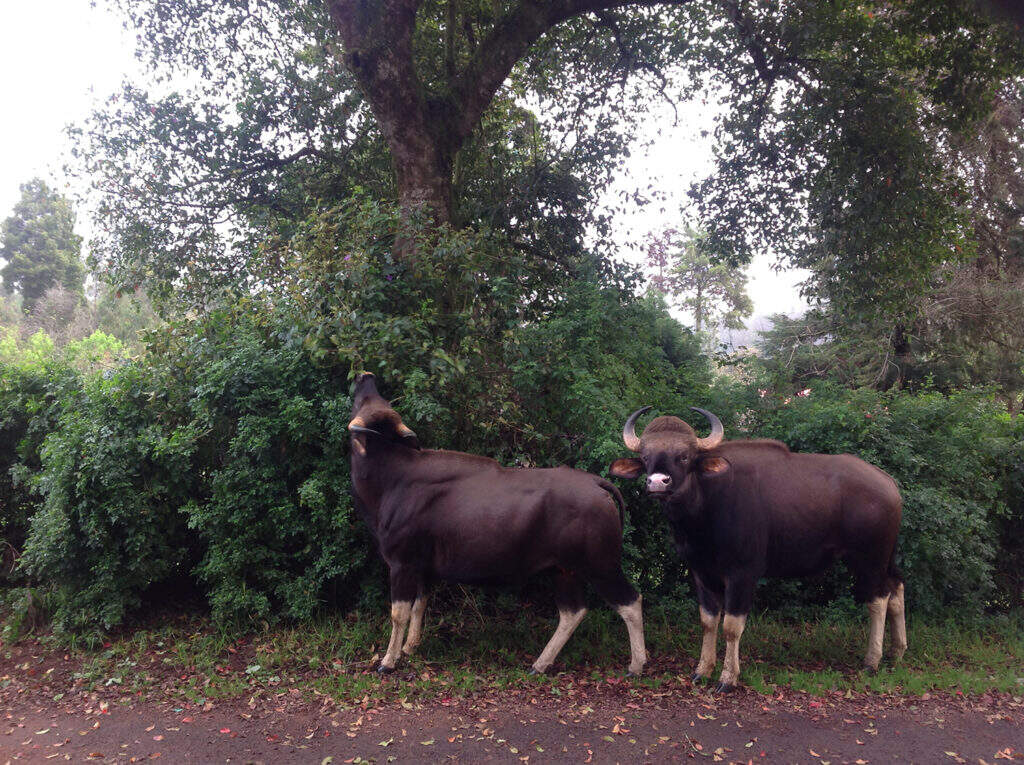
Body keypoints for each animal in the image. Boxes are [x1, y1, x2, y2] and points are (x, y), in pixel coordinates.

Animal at [347, 373, 647, 675]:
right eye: (372, 398)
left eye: (364, 401)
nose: (365, 376)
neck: (393, 480)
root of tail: (597, 483)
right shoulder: (423, 568)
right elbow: (420, 605)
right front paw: (410, 647)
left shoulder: (402, 563)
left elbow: (398, 613)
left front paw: (388, 660)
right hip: (564, 570)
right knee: (573, 611)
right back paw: (540, 663)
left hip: (601, 565)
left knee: (631, 601)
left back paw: (636, 664)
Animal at [609, 406, 906, 692]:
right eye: (646, 456)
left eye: (683, 456)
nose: (657, 482)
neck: (706, 506)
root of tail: (888, 483)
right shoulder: (701, 572)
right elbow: (708, 621)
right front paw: (702, 671)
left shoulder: (743, 573)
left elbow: (731, 626)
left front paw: (727, 678)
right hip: (885, 557)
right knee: (896, 587)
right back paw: (897, 652)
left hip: (869, 558)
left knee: (878, 599)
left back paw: (872, 661)